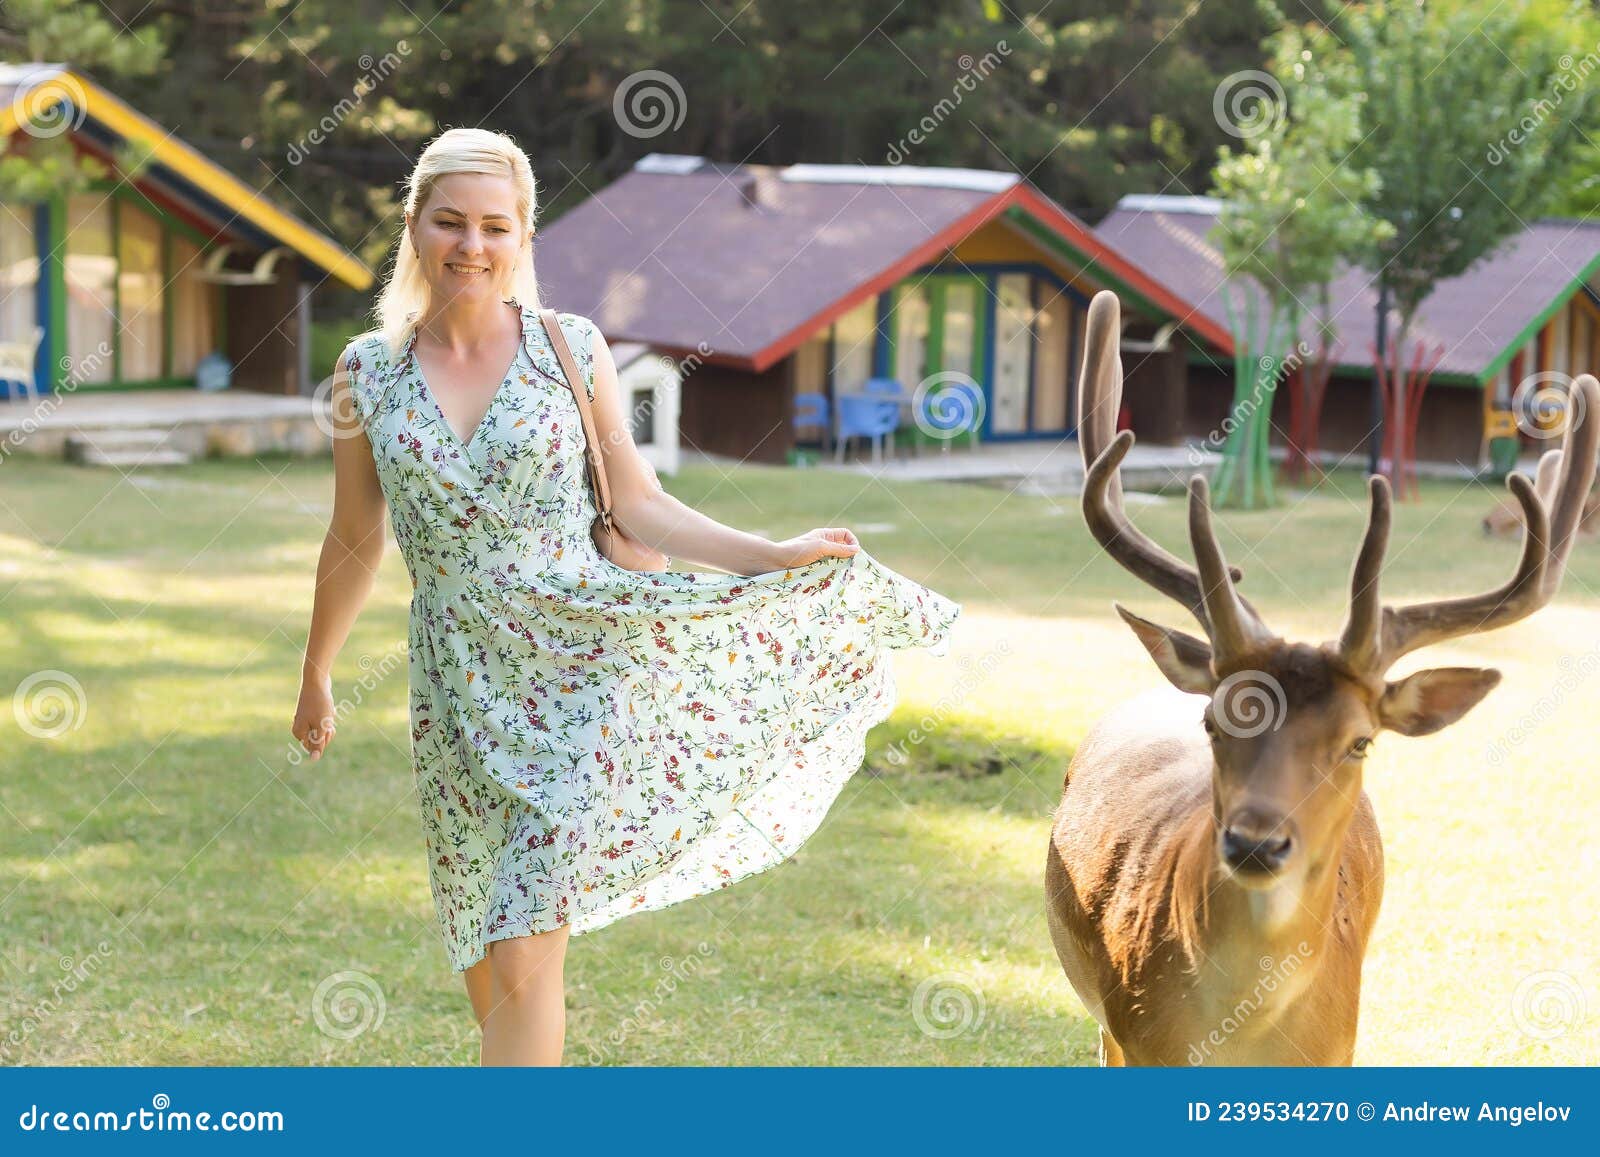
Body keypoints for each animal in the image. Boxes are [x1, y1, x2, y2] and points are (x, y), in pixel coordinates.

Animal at [1045, 289, 1599, 1066]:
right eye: (1215, 721)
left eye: (1360, 741)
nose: (1255, 842)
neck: (1239, 1035)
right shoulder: (1136, 1033)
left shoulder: (1341, 1046)